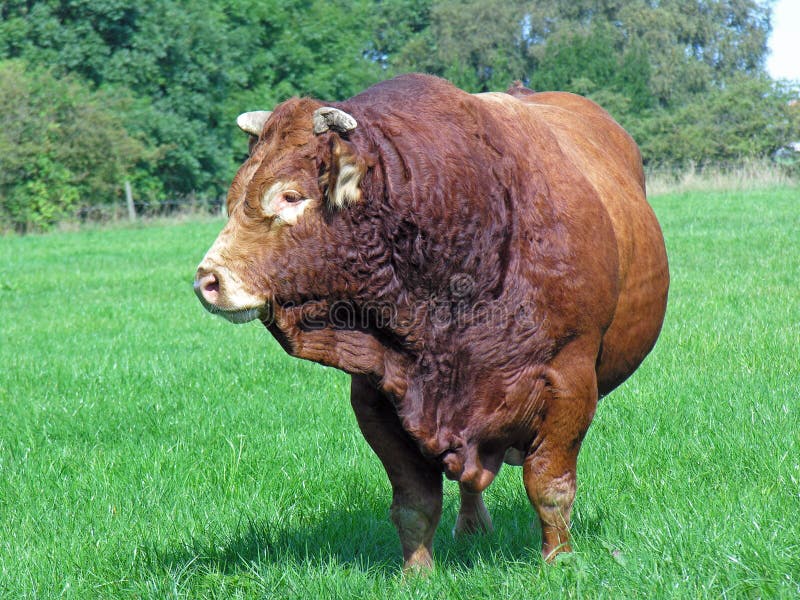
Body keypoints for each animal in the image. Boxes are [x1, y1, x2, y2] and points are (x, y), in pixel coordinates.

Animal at [193, 74, 669, 571]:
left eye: (290, 195)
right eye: (233, 198)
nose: (208, 280)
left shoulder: (569, 381)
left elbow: (550, 487)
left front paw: (558, 562)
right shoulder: (377, 394)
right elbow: (414, 501)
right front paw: (416, 574)